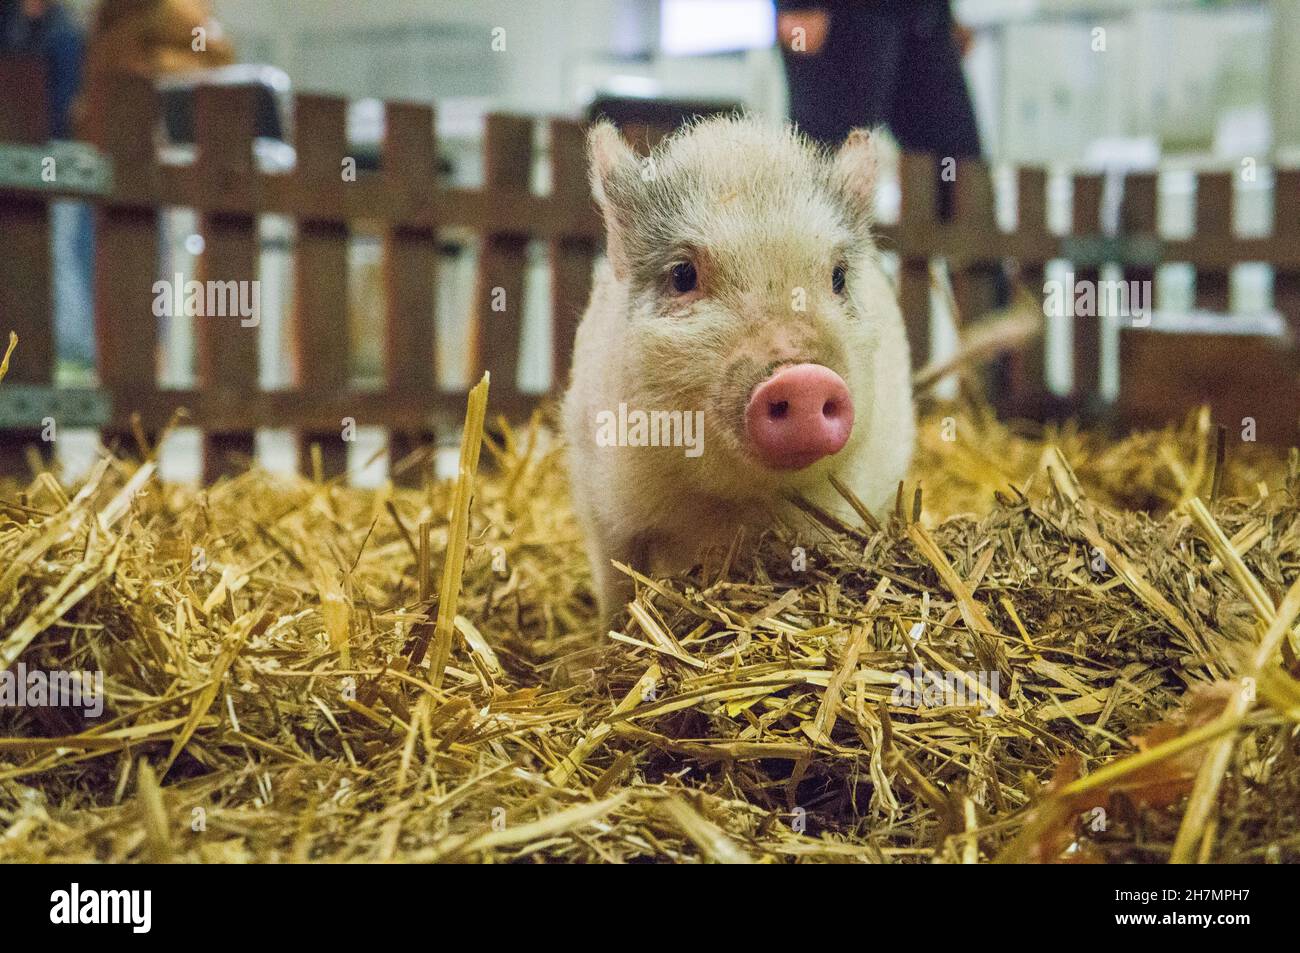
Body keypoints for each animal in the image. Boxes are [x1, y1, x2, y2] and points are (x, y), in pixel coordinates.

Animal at [563, 116, 915, 619]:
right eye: (683, 275)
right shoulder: (602, 508)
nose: (803, 378)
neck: (729, 504)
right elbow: (617, 590)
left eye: (838, 277)